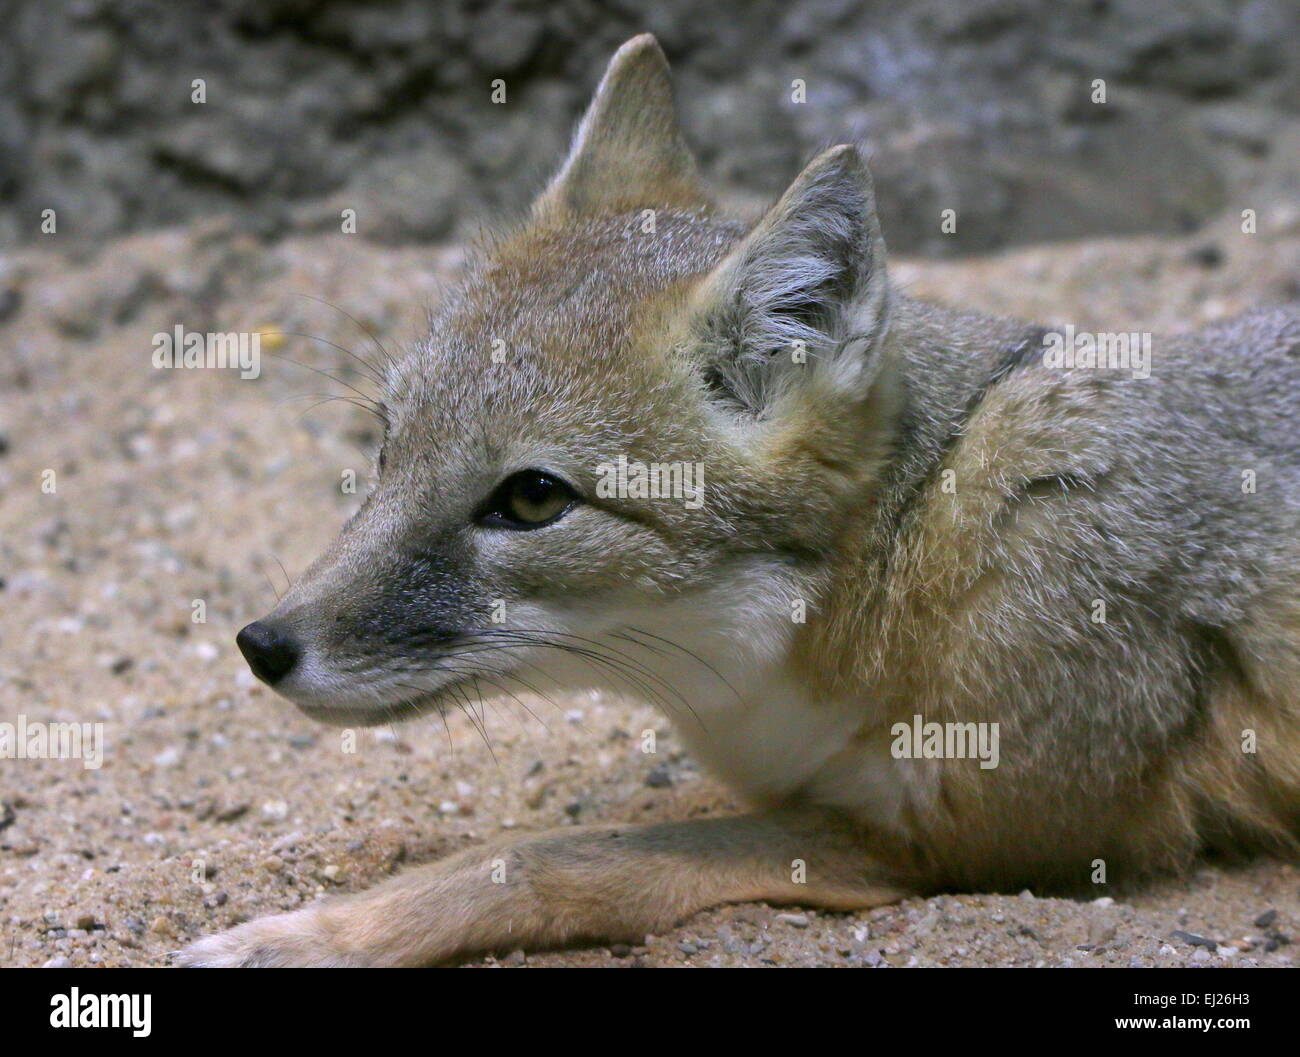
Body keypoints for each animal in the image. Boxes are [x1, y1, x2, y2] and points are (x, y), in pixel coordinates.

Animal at [180, 34, 1300, 967]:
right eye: (386, 445)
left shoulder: (967, 843)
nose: (262, 644)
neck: (911, 542)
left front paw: (309, 935)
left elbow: (556, 857)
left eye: (532, 500)